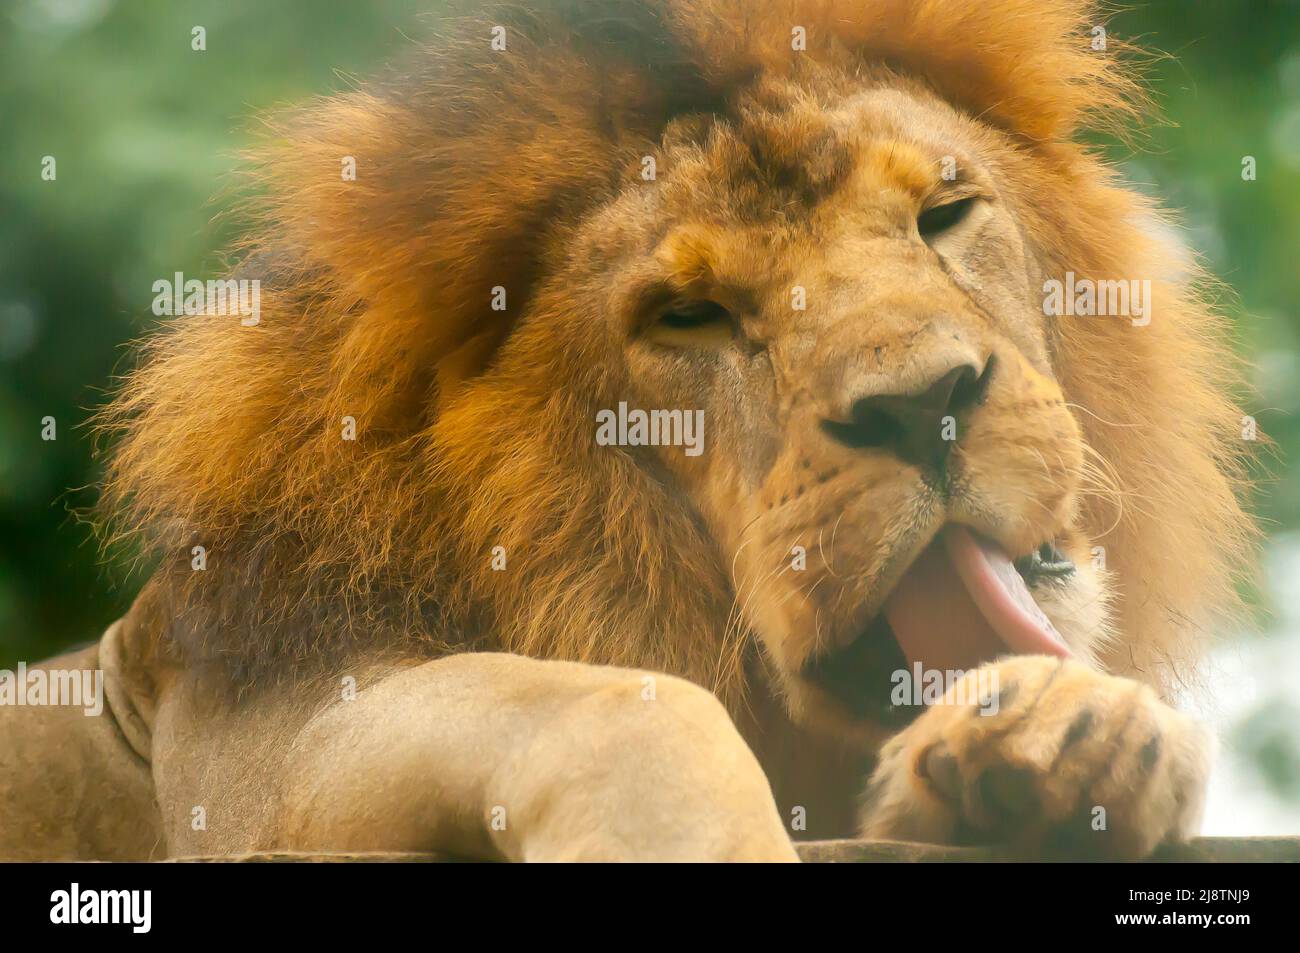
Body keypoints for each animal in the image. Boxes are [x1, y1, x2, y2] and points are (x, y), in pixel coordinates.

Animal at [0, 0, 1256, 862]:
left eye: (943, 212)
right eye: (688, 316)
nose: (920, 402)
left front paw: (1066, 736)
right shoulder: (255, 752)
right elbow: (628, 707)